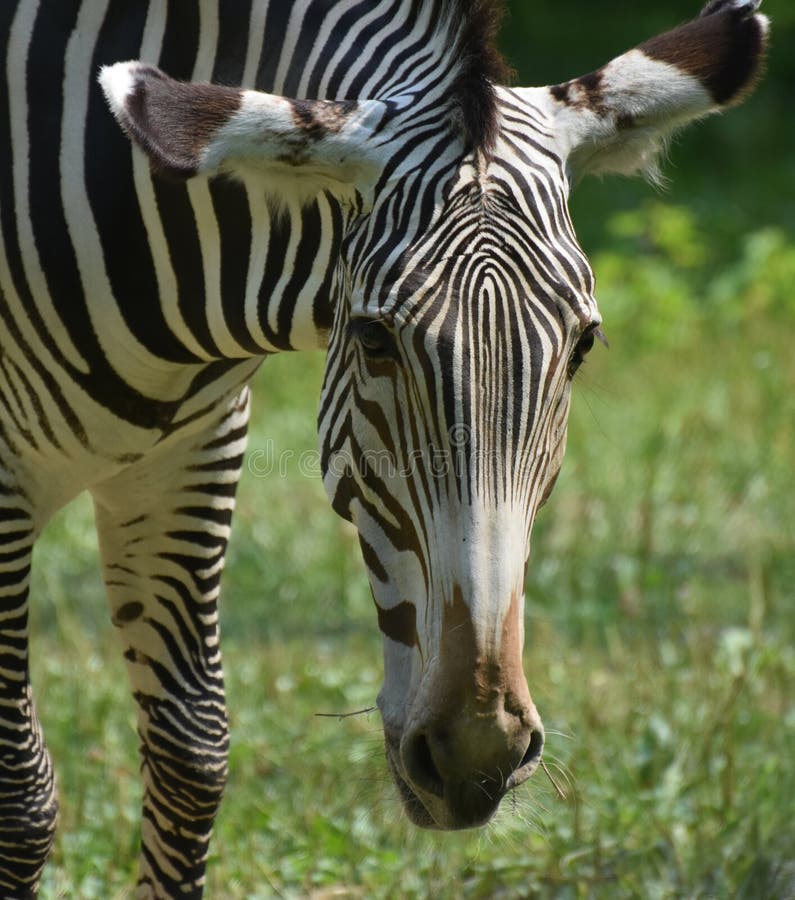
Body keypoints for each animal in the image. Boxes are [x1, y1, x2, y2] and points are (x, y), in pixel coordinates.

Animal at [0, 0, 767, 895]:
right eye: (372, 340)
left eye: (582, 347)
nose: (477, 754)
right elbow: (21, 796)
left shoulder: (190, 453)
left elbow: (193, 752)